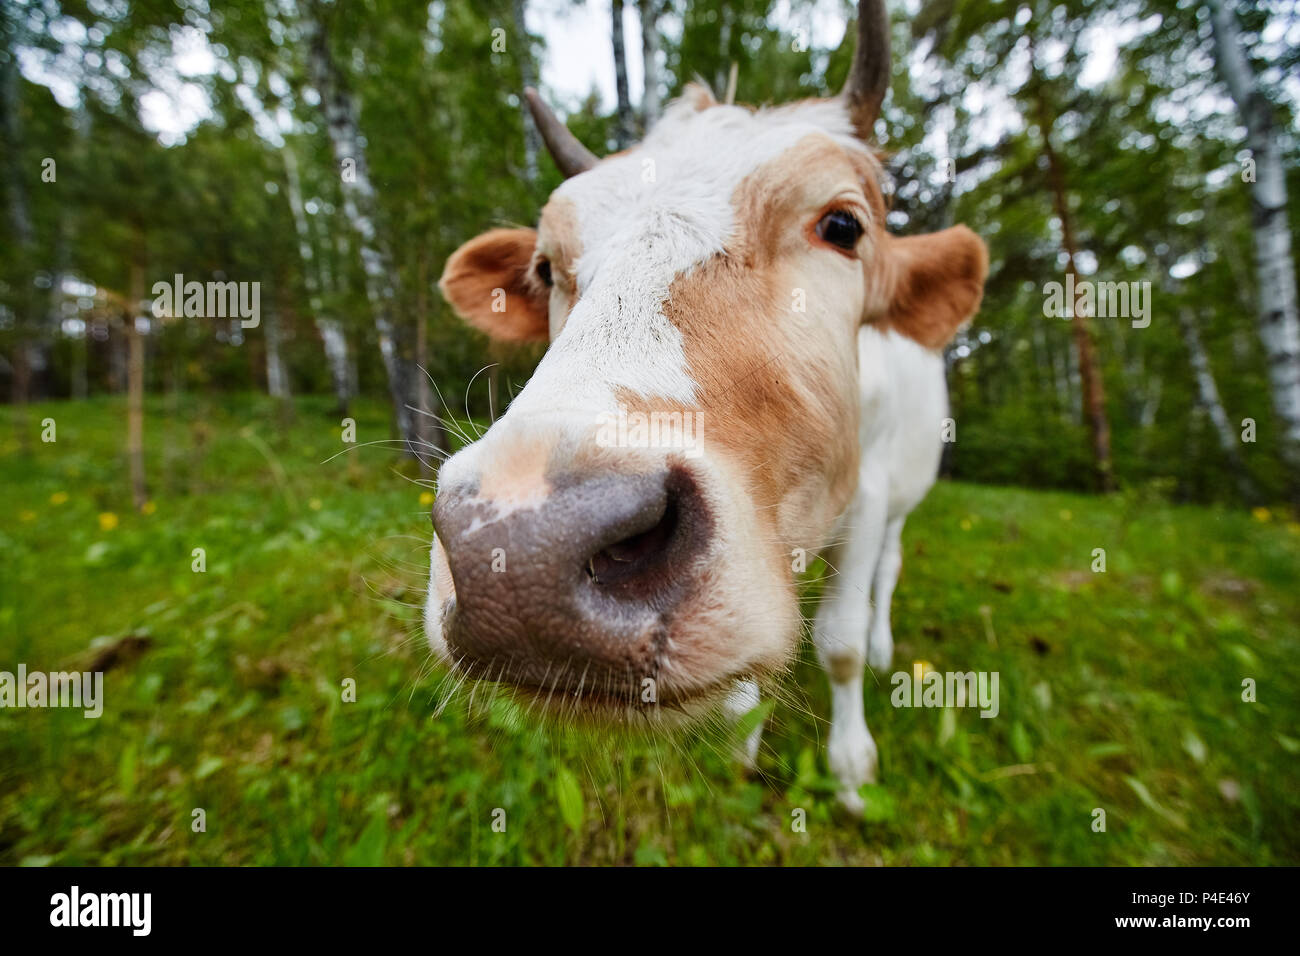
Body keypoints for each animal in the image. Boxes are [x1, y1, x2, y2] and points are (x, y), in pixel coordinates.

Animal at [426, 0, 987, 814]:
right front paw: (743, 741)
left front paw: (852, 767)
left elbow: (841, 643)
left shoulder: (870, 495)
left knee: (889, 567)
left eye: (843, 225)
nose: (517, 551)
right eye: (545, 267)